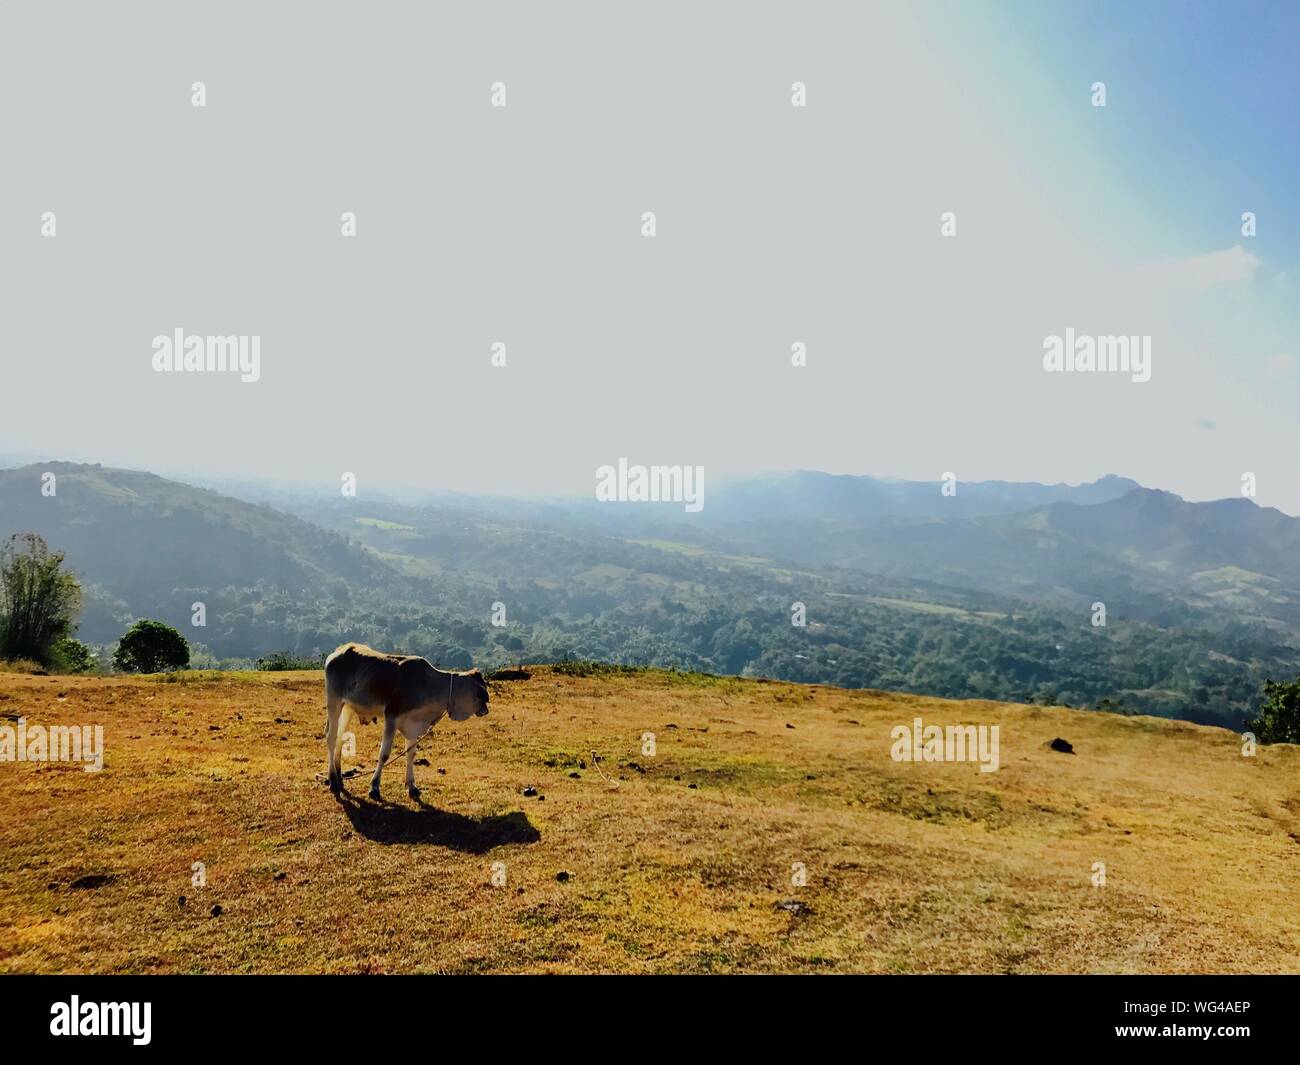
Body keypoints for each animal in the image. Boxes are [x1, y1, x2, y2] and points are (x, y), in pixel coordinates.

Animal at [324, 643, 489, 800]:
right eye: (480, 693)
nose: (486, 710)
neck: (429, 685)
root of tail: (338, 652)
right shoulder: (391, 717)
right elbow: (384, 754)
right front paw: (374, 787)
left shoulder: (413, 726)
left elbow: (411, 754)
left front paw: (412, 786)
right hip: (334, 701)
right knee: (331, 737)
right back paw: (333, 781)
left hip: (348, 707)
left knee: (340, 738)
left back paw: (339, 777)